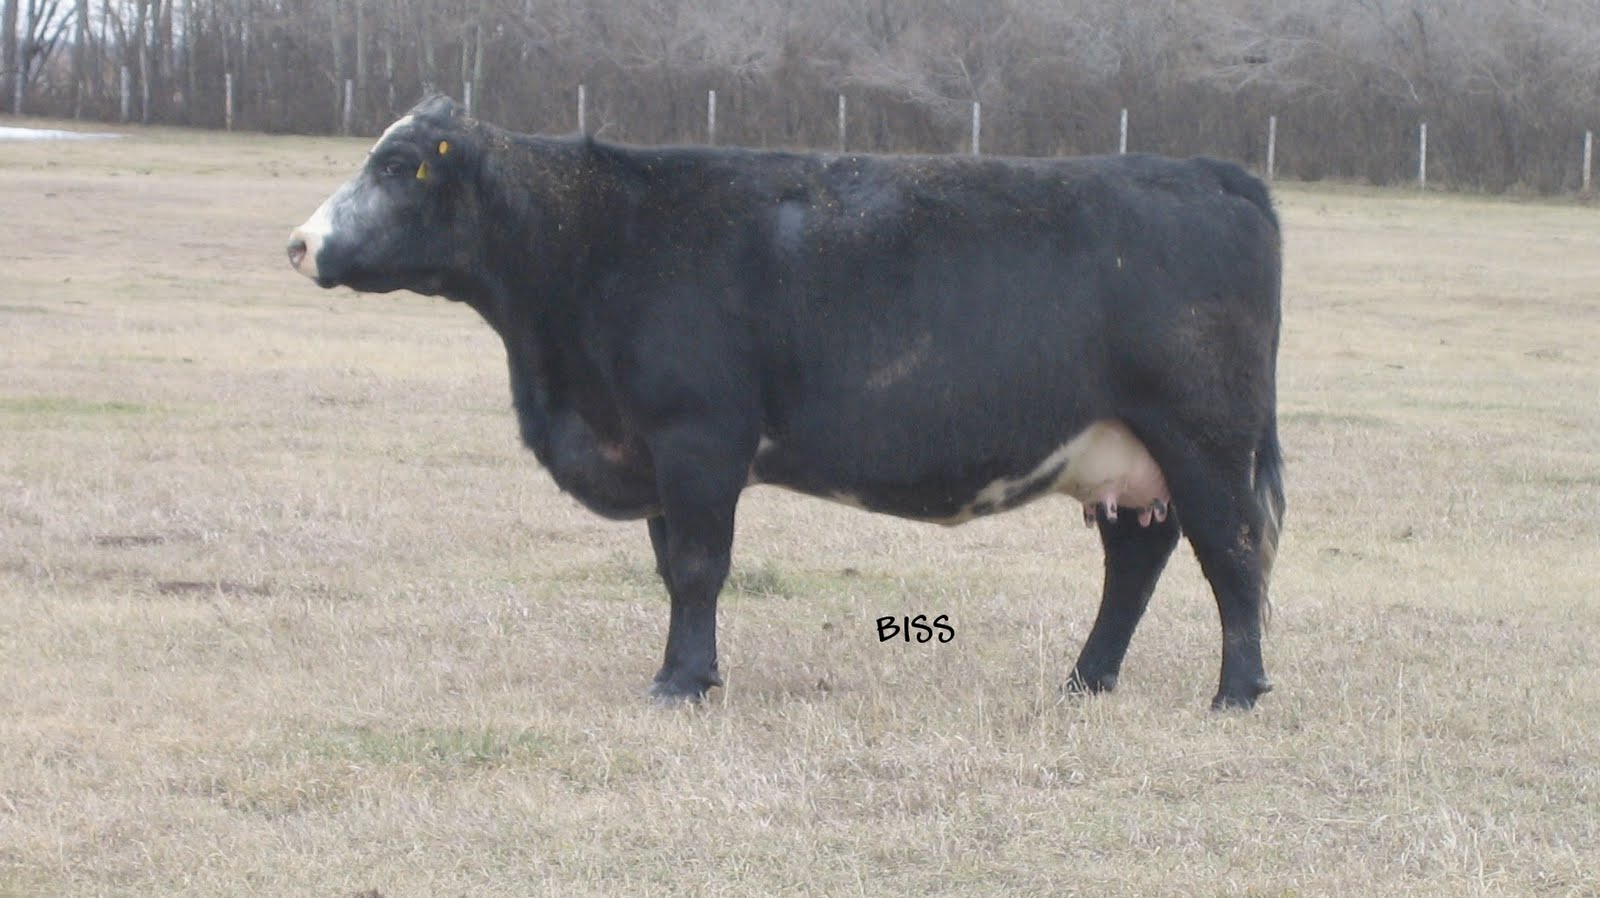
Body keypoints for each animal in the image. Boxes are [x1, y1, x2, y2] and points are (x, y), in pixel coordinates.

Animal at [287, 95, 1286, 710]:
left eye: (400, 165)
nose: (300, 242)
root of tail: (1214, 172)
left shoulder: (697, 439)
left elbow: (698, 567)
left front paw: (680, 683)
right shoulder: (655, 450)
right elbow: (673, 568)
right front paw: (691, 671)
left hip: (1204, 437)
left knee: (1233, 554)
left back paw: (1236, 692)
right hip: (1128, 453)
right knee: (1138, 561)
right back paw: (1087, 680)